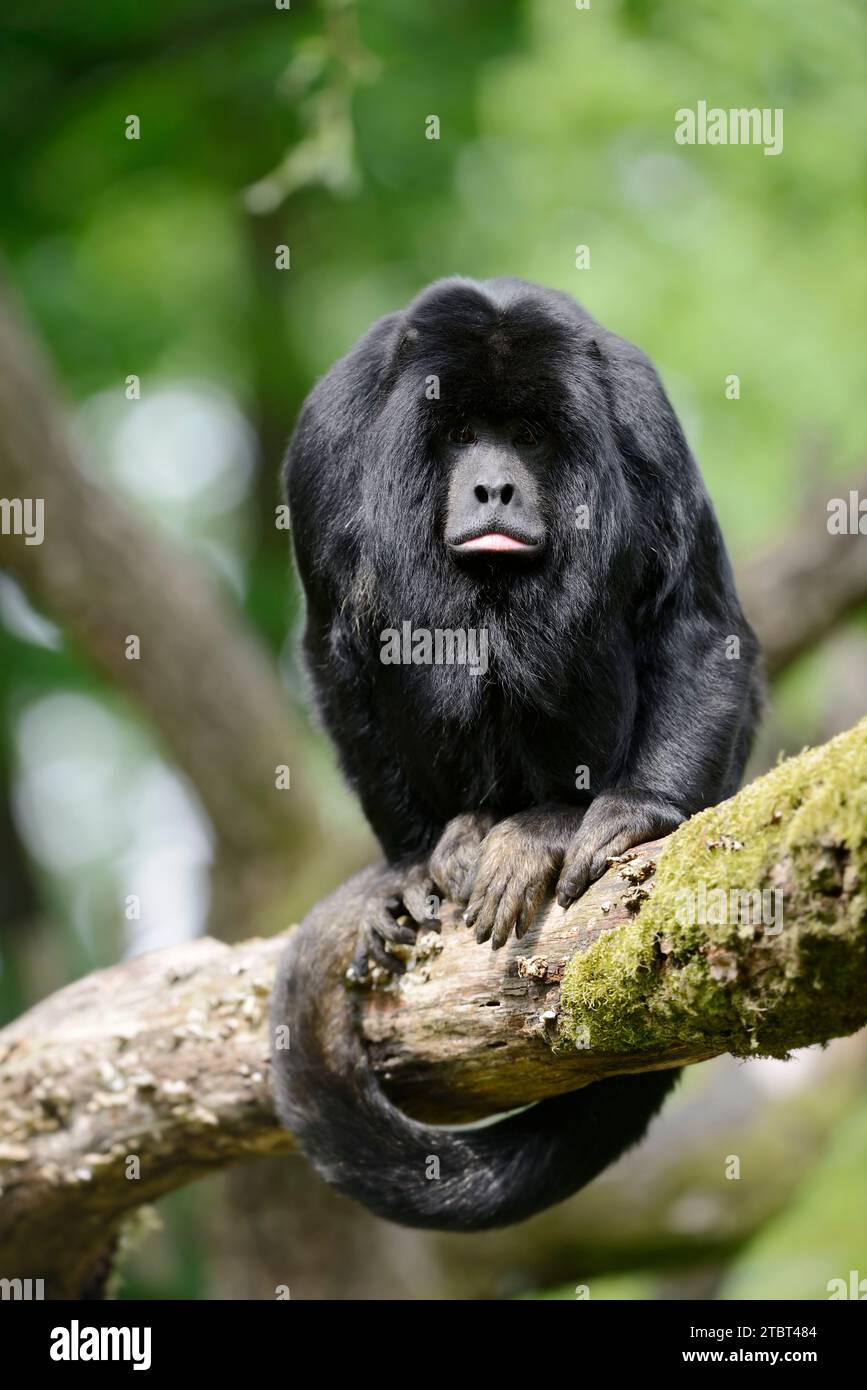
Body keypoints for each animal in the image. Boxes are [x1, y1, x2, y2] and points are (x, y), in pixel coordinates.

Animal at [270, 276, 763, 1231]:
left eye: (530, 436)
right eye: (462, 434)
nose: (495, 484)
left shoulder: (640, 417)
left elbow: (693, 620)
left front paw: (632, 813)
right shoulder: (327, 441)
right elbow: (336, 646)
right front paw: (410, 871)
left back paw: (544, 825)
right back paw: (463, 837)